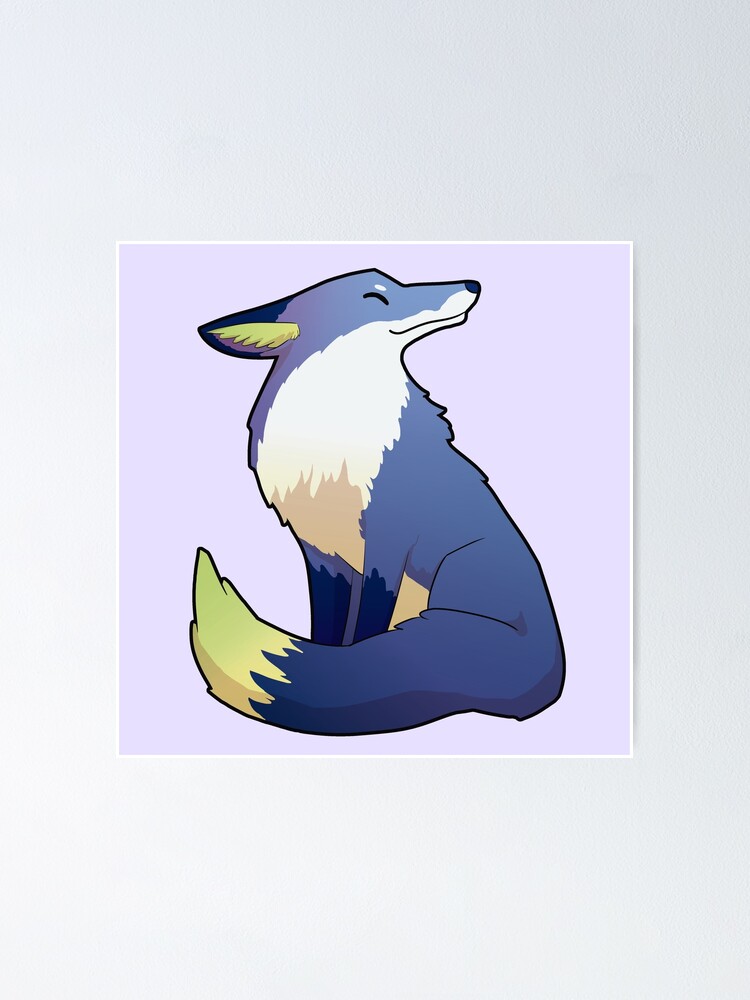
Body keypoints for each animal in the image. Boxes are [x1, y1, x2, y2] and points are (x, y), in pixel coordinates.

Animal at [190, 268, 565, 736]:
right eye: (376, 297)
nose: (473, 285)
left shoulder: (387, 547)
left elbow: (364, 629)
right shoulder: (321, 556)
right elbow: (329, 629)